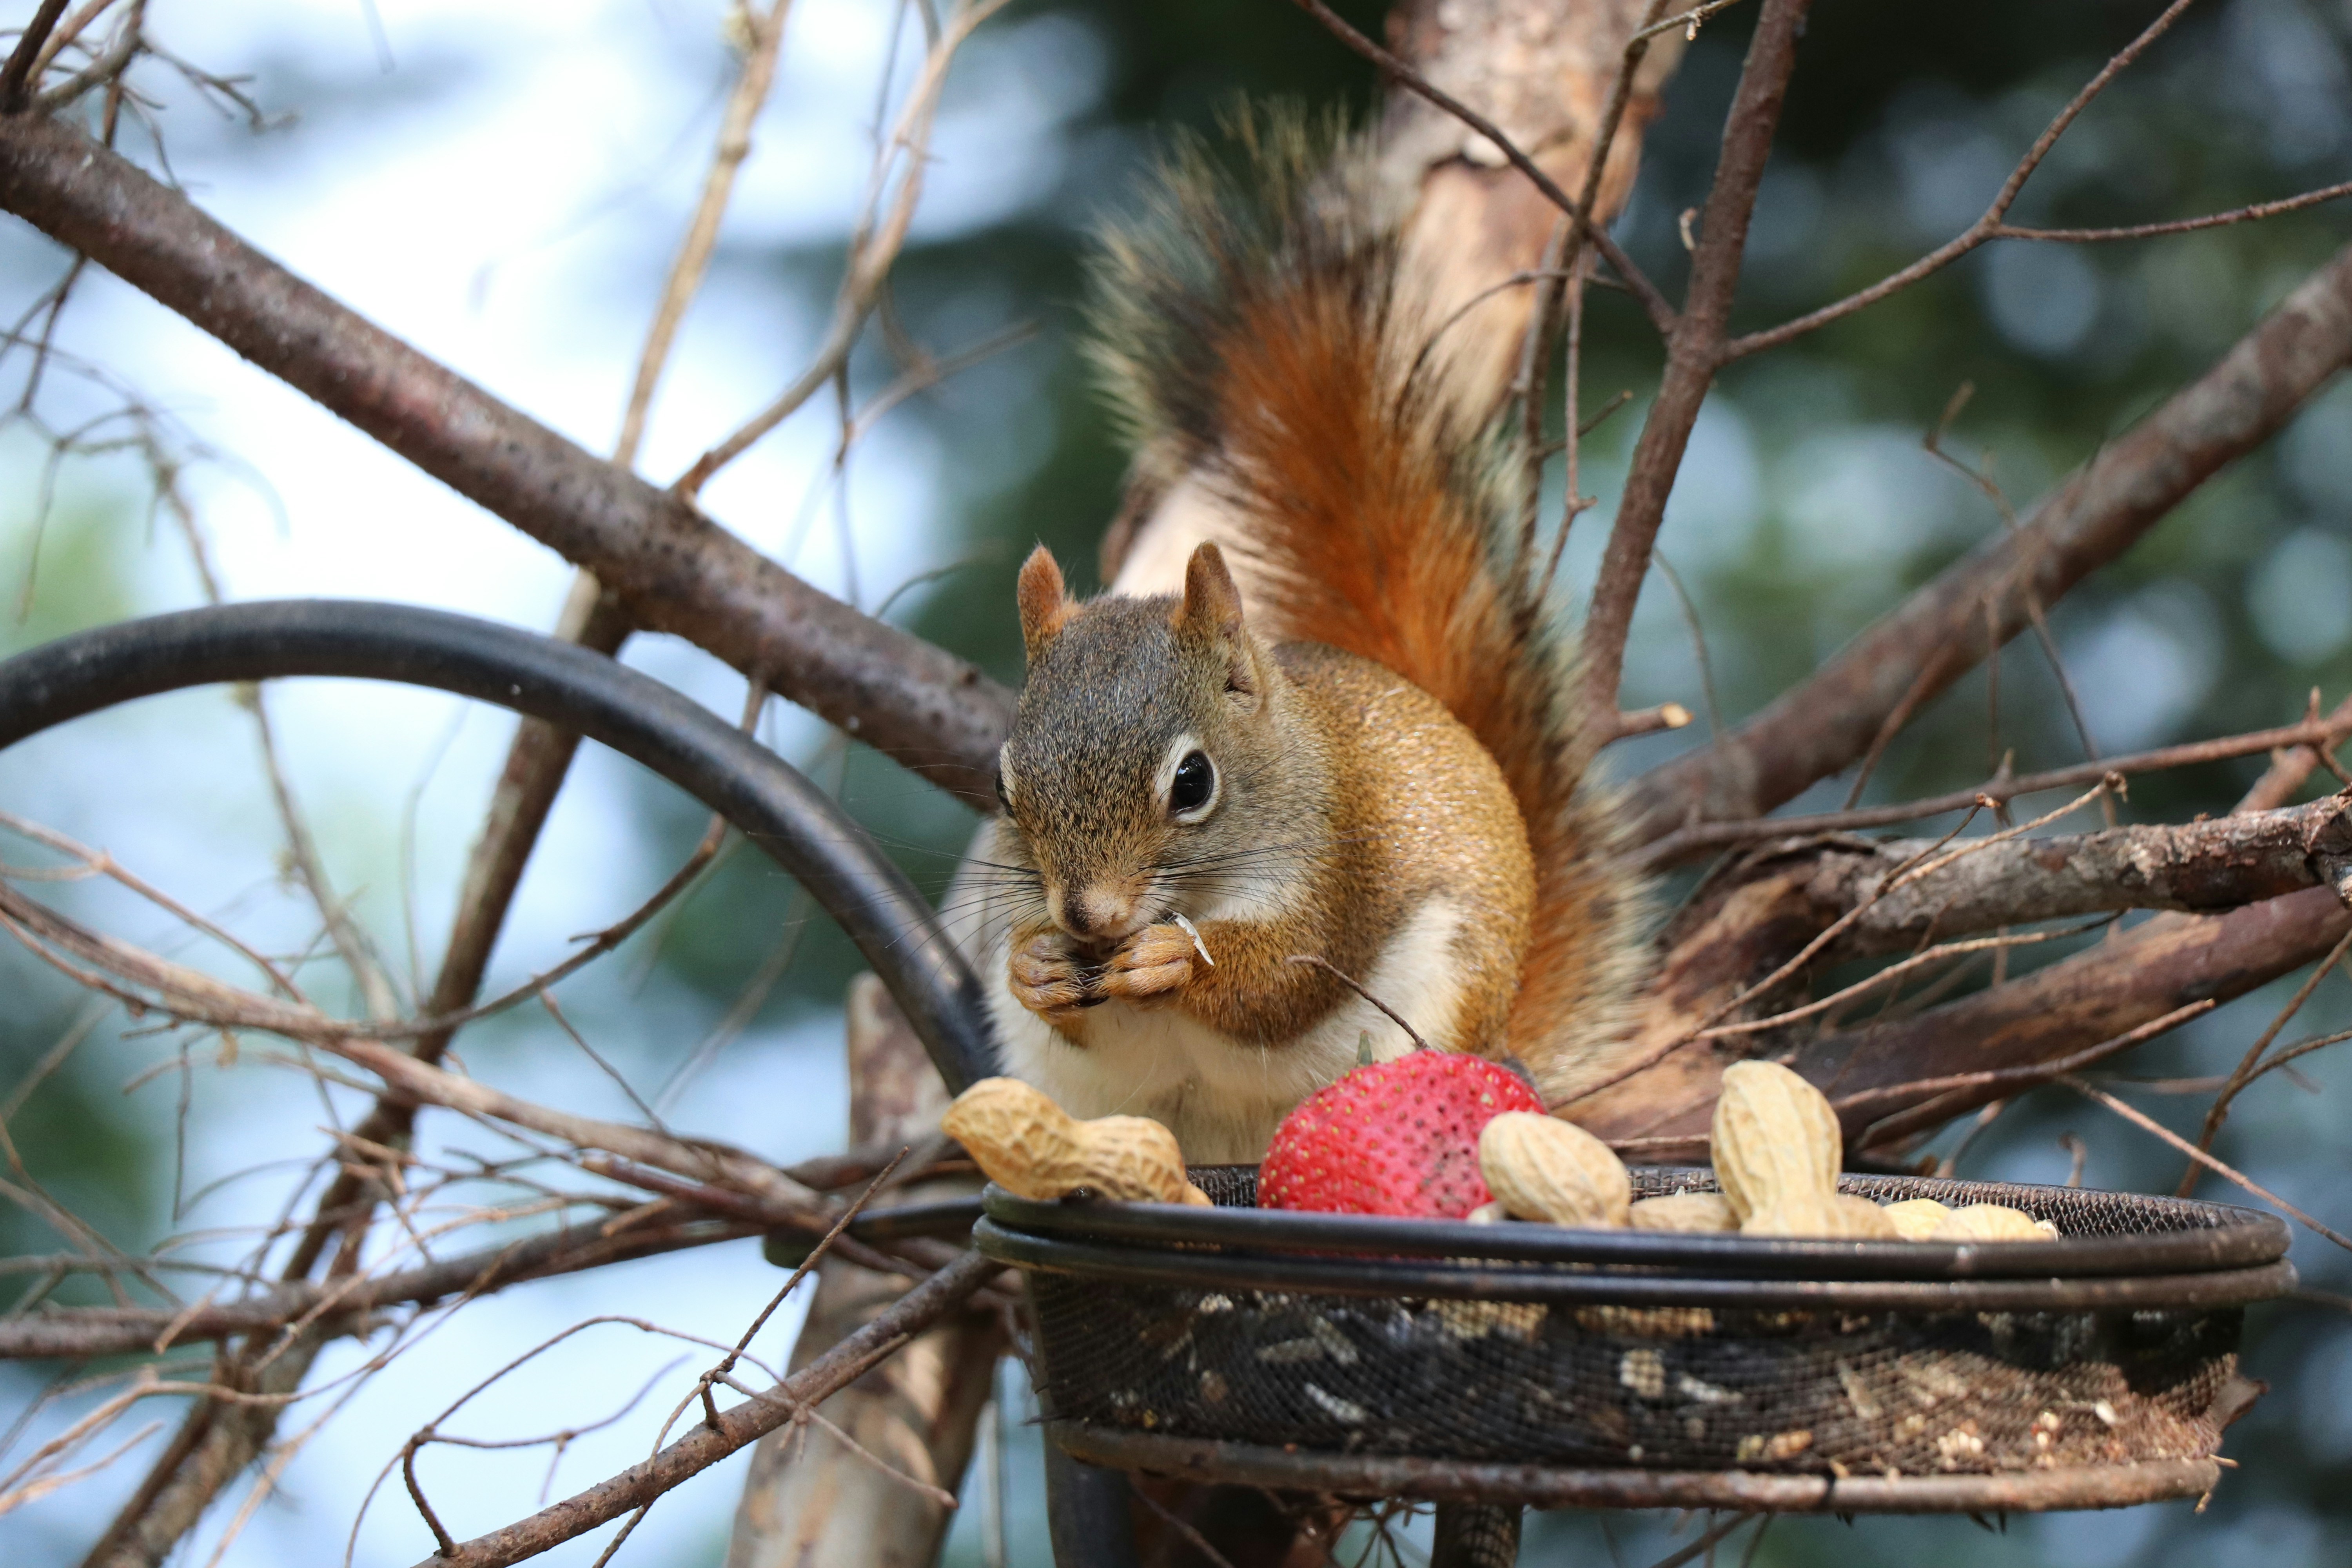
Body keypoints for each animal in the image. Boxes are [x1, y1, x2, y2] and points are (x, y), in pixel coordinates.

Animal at [945, 120, 1650, 1163]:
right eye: (1004, 788)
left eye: (1193, 782)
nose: (1089, 916)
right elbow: (1064, 1005)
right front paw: (1037, 962)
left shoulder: (1341, 870)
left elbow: (1279, 981)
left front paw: (1176, 958)